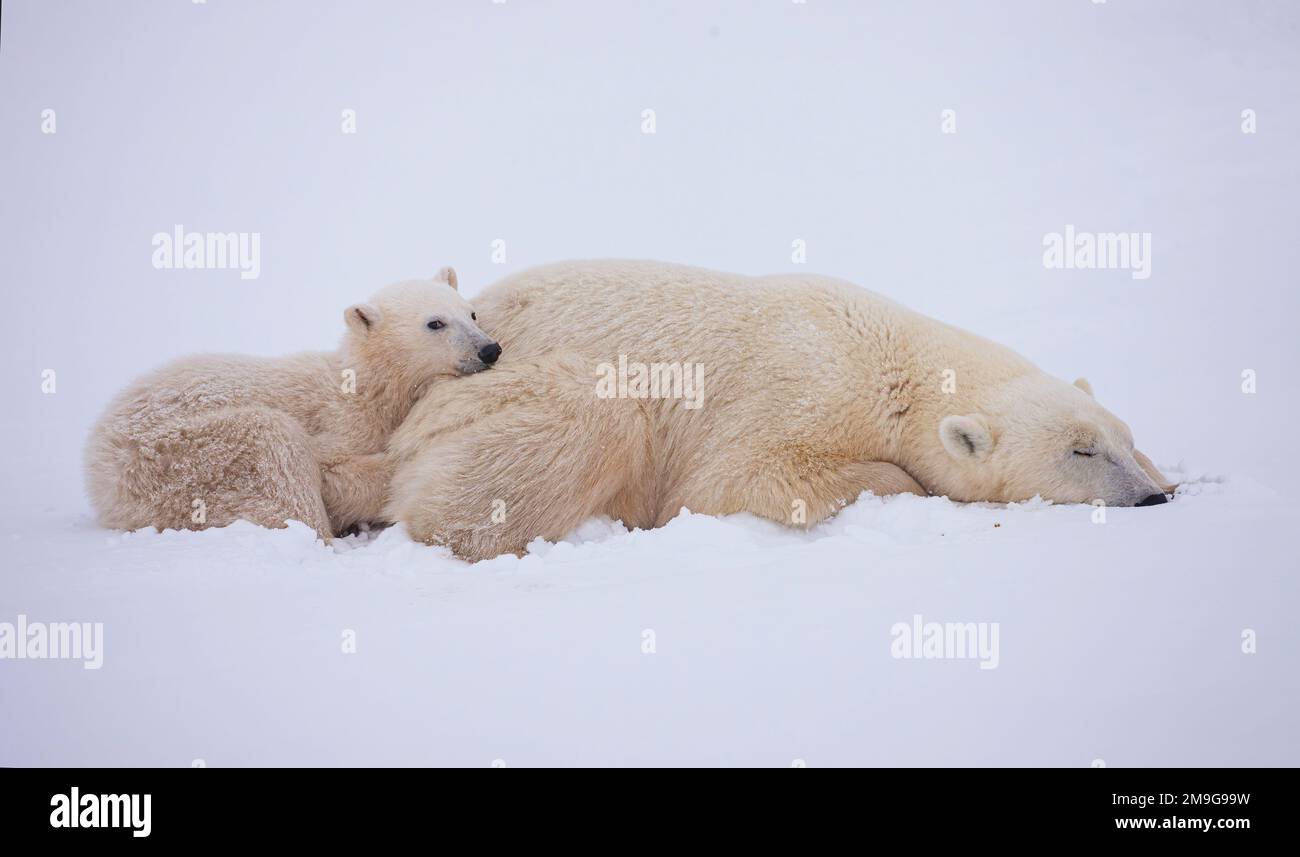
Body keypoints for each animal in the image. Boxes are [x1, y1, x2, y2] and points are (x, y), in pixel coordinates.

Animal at [85, 267, 501, 540]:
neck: (370, 388)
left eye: (471, 312)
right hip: (173, 457)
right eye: (435, 323)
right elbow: (334, 471)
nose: (489, 349)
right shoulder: (342, 421)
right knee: (274, 450)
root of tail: (96, 474)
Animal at [384, 259, 1176, 562]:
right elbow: (743, 478)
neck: (889, 358)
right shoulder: (794, 389)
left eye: (1122, 438)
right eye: (1079, 451)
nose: (1151, 499)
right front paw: (908, 484)